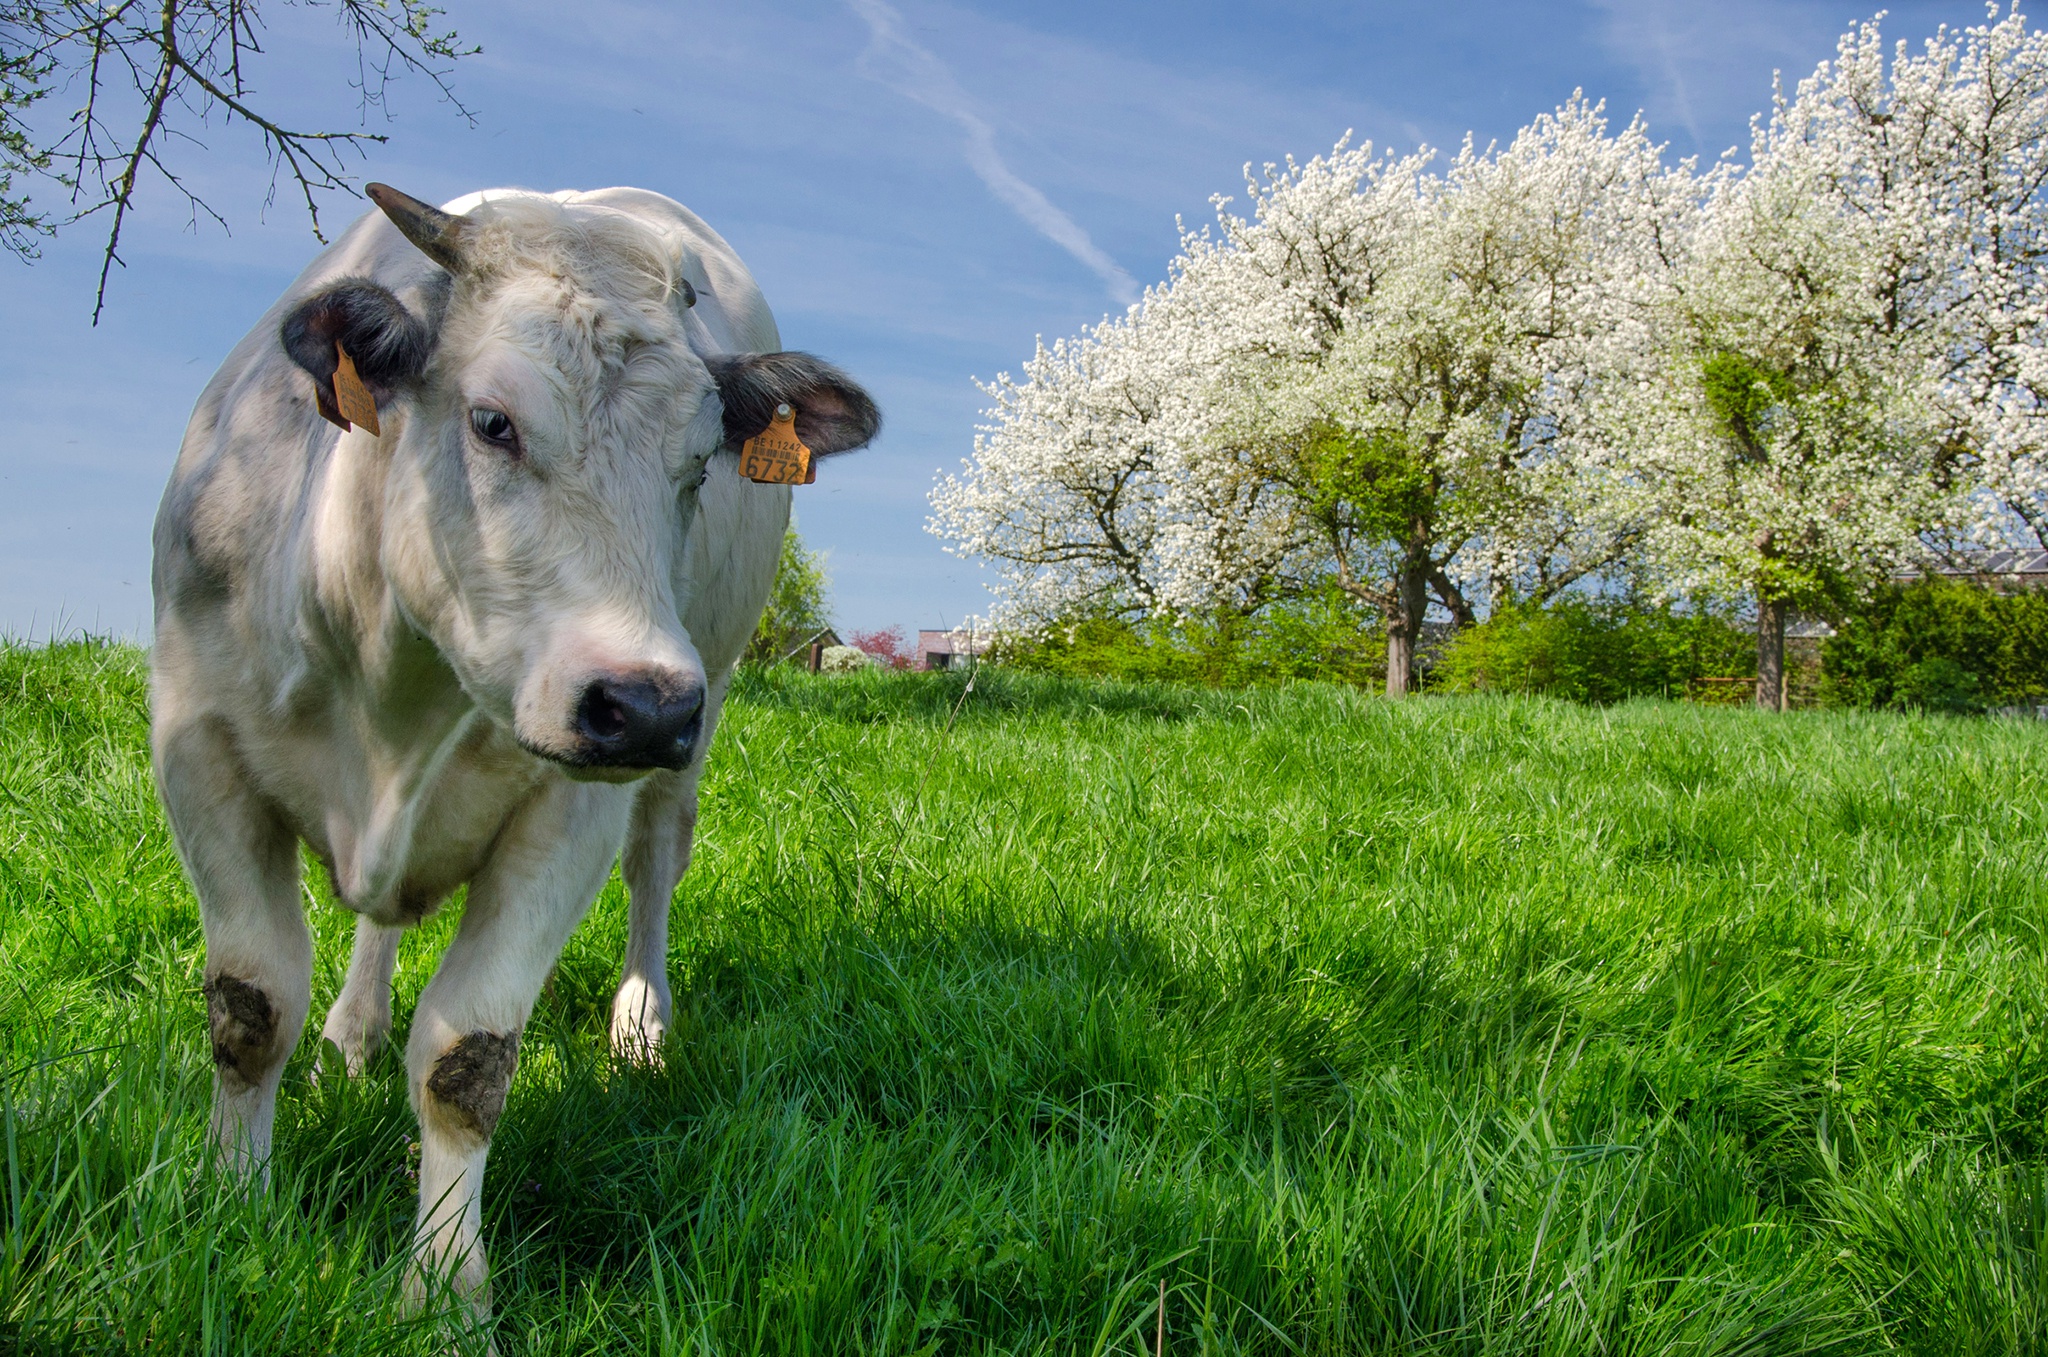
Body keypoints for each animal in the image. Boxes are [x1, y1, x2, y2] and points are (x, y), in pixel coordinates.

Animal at [150, 183, 878, 1317]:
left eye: (698, 463)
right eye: (492, 422)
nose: (644, 703)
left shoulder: (570, 811)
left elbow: (467, 1059)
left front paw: (445, 1288)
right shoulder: (196, 745)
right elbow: (252, 1007)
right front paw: (229, 1203)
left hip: (695, 721)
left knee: (655, 863)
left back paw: (639, 1027)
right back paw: (352, 1031)